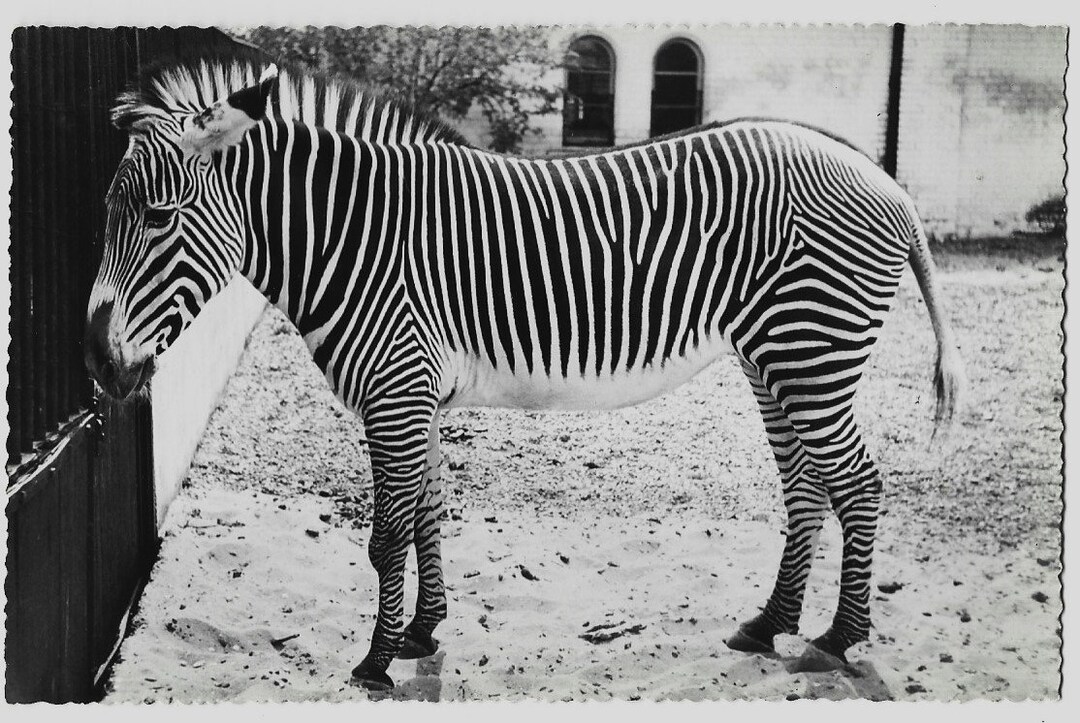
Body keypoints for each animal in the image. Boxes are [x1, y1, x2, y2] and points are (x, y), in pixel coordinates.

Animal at [84, 56, 964, 692]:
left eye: (158, 217)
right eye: (108, 214)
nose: (95, 358)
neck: (352, 238)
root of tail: (885, 180)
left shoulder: (395, 392)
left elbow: (386, 534)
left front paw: (375, 659)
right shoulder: (420, 395)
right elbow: (430, 514)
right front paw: (422, 631)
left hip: (811, 349)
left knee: (858, 483)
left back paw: (840, 636)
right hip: (774, 354)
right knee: (808, 485)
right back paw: (767, 622)